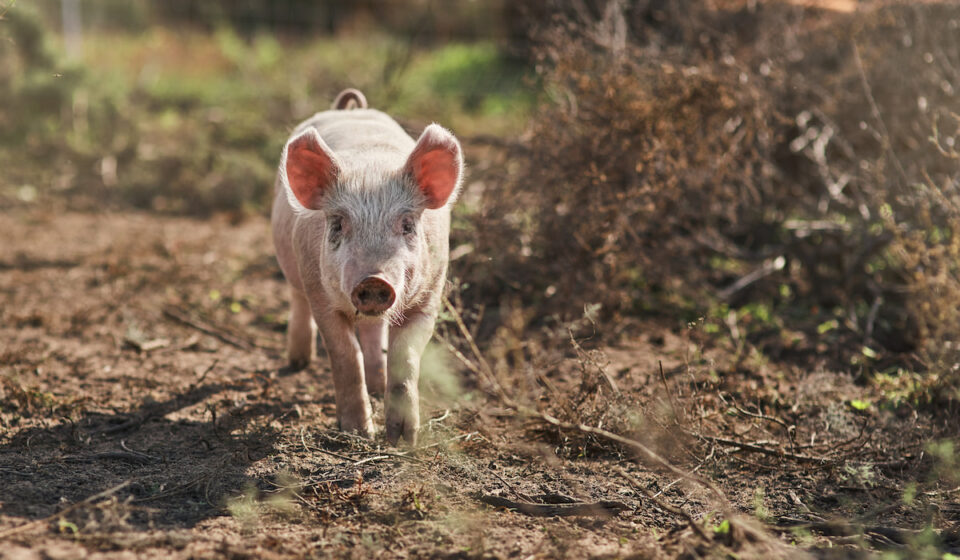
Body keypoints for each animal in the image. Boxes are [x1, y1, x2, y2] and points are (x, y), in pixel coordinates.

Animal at [271, 88, 463, 445]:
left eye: (407, 224)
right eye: (337, 224)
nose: (374, 280)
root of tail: (349, 109)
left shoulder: (430, 295)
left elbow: (405, 357)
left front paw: (403, 441)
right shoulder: (321, 297)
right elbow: (346, 356)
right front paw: (359, 433)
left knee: (375, 334)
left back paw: (377, 383)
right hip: (292, 266)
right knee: (297, 301)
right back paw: (299, 361)